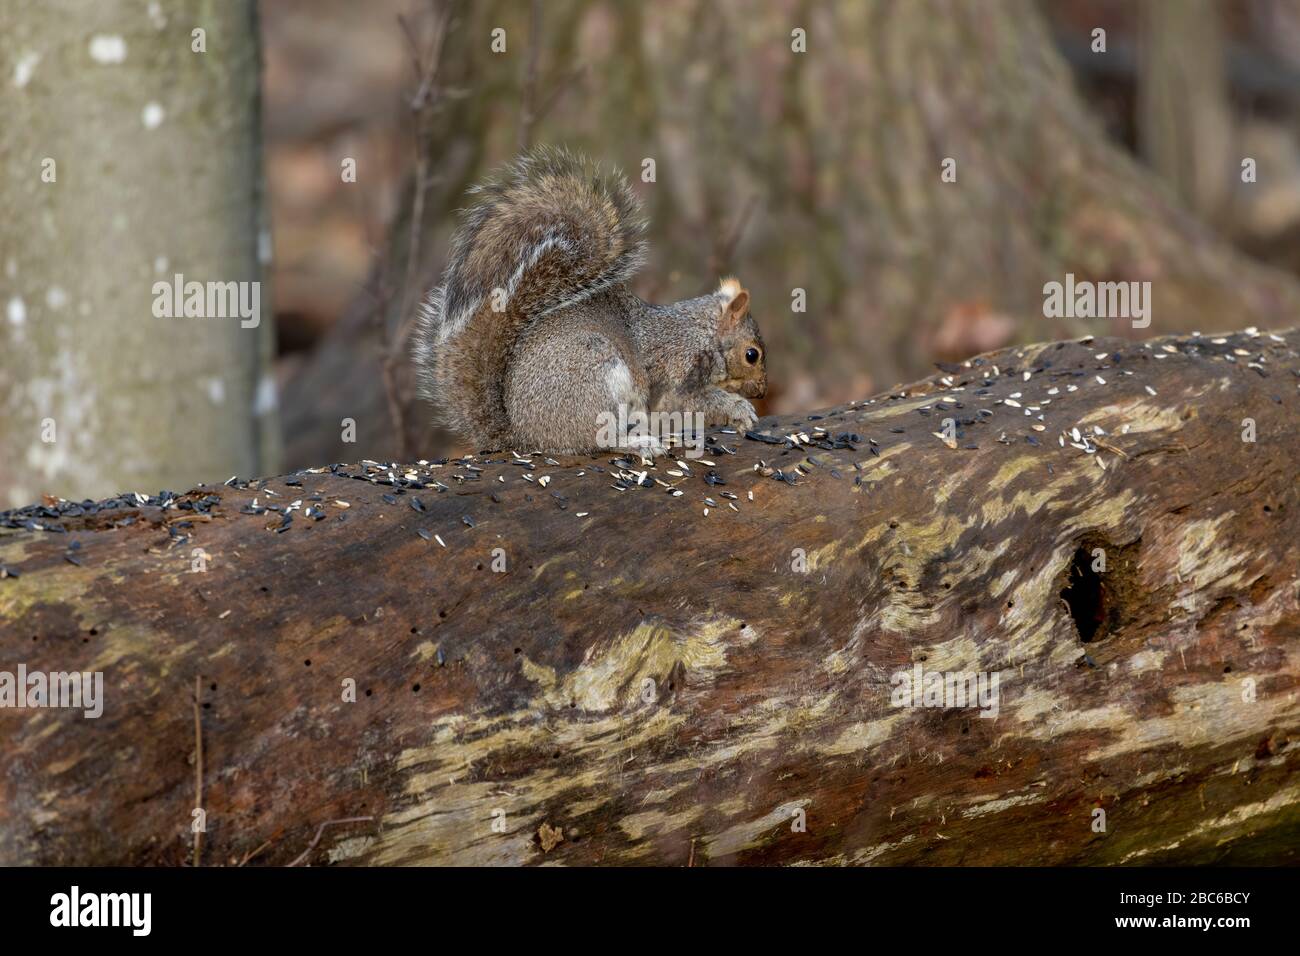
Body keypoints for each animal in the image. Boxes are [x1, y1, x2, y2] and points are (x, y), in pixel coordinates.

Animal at [412, 147, 766, 456]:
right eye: (752, 355)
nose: (762, 392)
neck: (701, 332)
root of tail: (525, 436)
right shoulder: (676, 368)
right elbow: (690, 402)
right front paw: (740, 409)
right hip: (597, 381)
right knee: (597, 440)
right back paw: (637, 444)